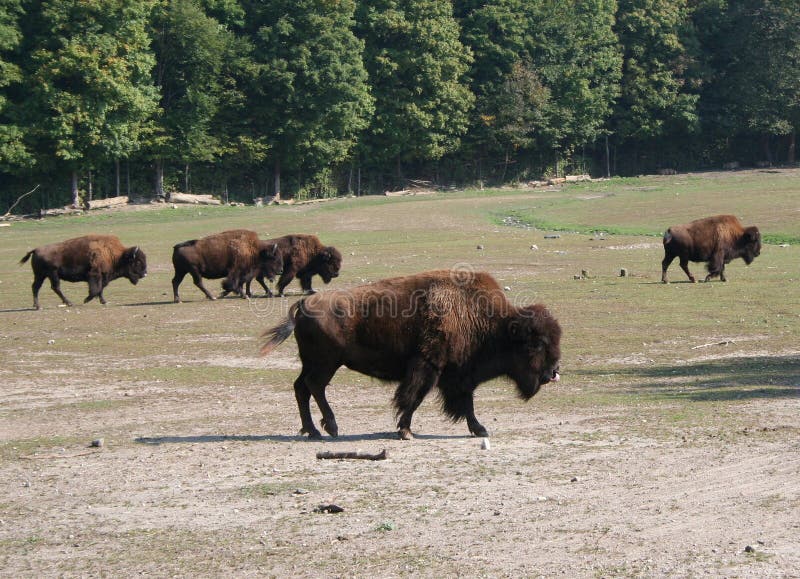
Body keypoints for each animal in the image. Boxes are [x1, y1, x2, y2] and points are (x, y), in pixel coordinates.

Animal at [261, 269, 561, 440]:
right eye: (536, 344)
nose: (553, 372)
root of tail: (303, 304)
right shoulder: (429, 366)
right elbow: (414, 398)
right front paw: (405, 431)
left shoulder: (457, 375)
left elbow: (466, 403)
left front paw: (479, 429)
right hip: (326, 364)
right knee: (314, 387)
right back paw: (331, 428)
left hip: (313, 363)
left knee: (301, 388)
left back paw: (312, 430)